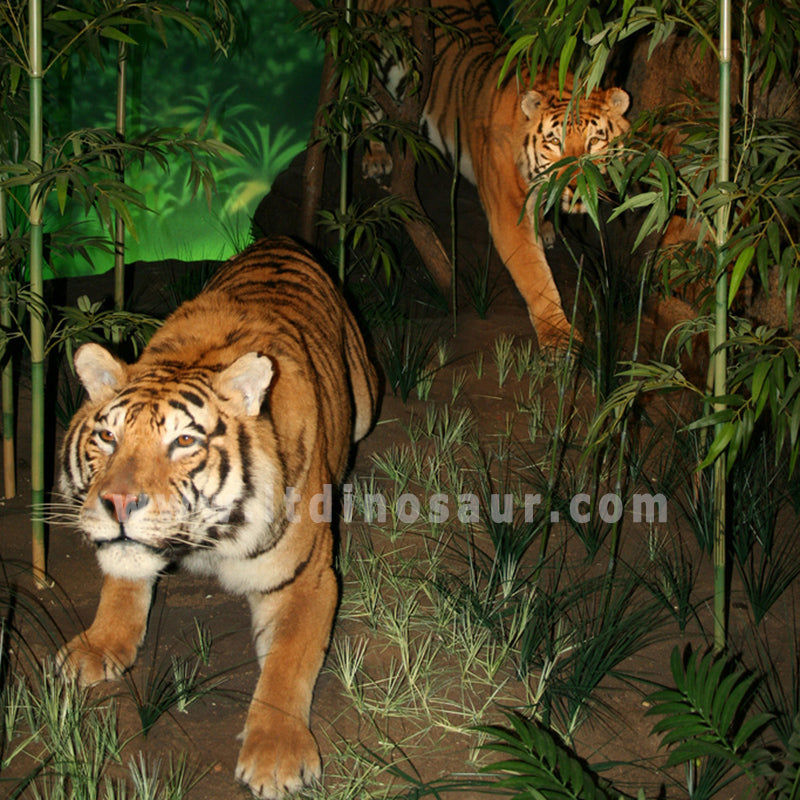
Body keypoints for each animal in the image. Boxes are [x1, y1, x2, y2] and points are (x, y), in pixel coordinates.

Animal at [57, 236, 379, 799]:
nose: (117, 504)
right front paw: (96, 647)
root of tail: (282, 241)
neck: (208, 541)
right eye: (107, 437)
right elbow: (121, 586)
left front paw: (276, 756)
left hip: (367, 399)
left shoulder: (308, 578)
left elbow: (288, 661)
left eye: (185, 441)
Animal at [361, 0, 630, 349]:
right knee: (365, 97)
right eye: (554, 143)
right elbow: (536, 278)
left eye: (594, 141)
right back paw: (376, 155)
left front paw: (546, 227)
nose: (576, 186)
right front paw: (558, 338)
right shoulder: (507, 211)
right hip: (369, 49)